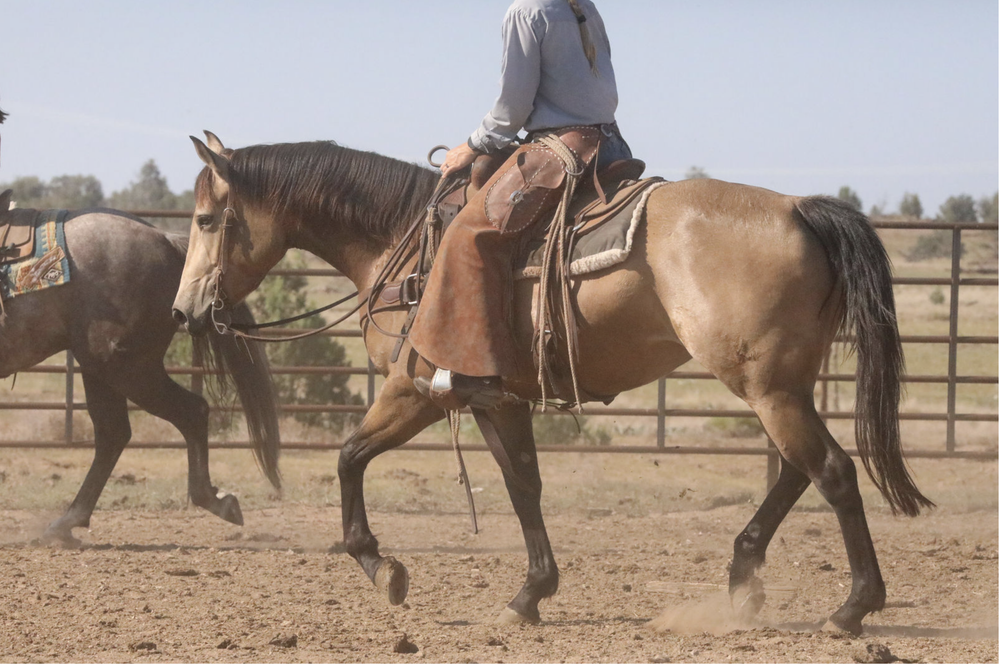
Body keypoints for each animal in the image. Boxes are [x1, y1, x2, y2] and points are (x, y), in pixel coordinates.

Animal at [0, 191, 282, 545]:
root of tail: (167, 240)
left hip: (126, 367)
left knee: (189, 412)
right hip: (101, 369)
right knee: (114, 433)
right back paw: (68, 522)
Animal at [171, 132, 933, 635]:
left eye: (207, 218)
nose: (183, 311)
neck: (403, 242)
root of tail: (799, 208)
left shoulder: (415, 391)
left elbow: (350, 457)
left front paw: (381, 567)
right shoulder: (495, 399)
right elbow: (522, 485)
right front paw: (531, 593)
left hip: (768, 387)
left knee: (831, 471)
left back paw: (853, 607)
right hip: (781, 386)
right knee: (799, 471)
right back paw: (743, 580)